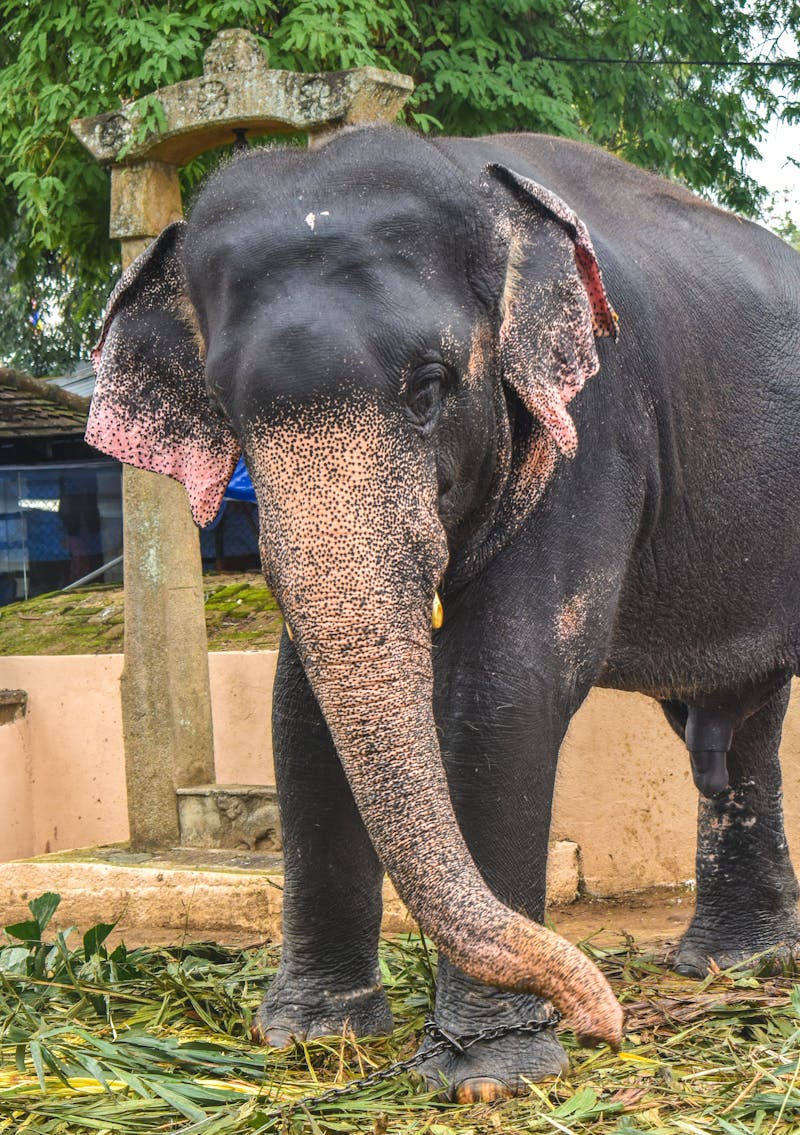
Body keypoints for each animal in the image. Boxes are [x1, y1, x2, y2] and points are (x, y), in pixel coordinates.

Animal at [86, 124, 800, 1101]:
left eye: (428, 388)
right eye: (233, 411)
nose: (607, 1018)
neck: (468, 169)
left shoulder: (595, 424)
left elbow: (506, 689)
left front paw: (490, 1074)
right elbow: (299, 711)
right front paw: (311, 1037)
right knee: (735, 727)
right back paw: (732, 965)